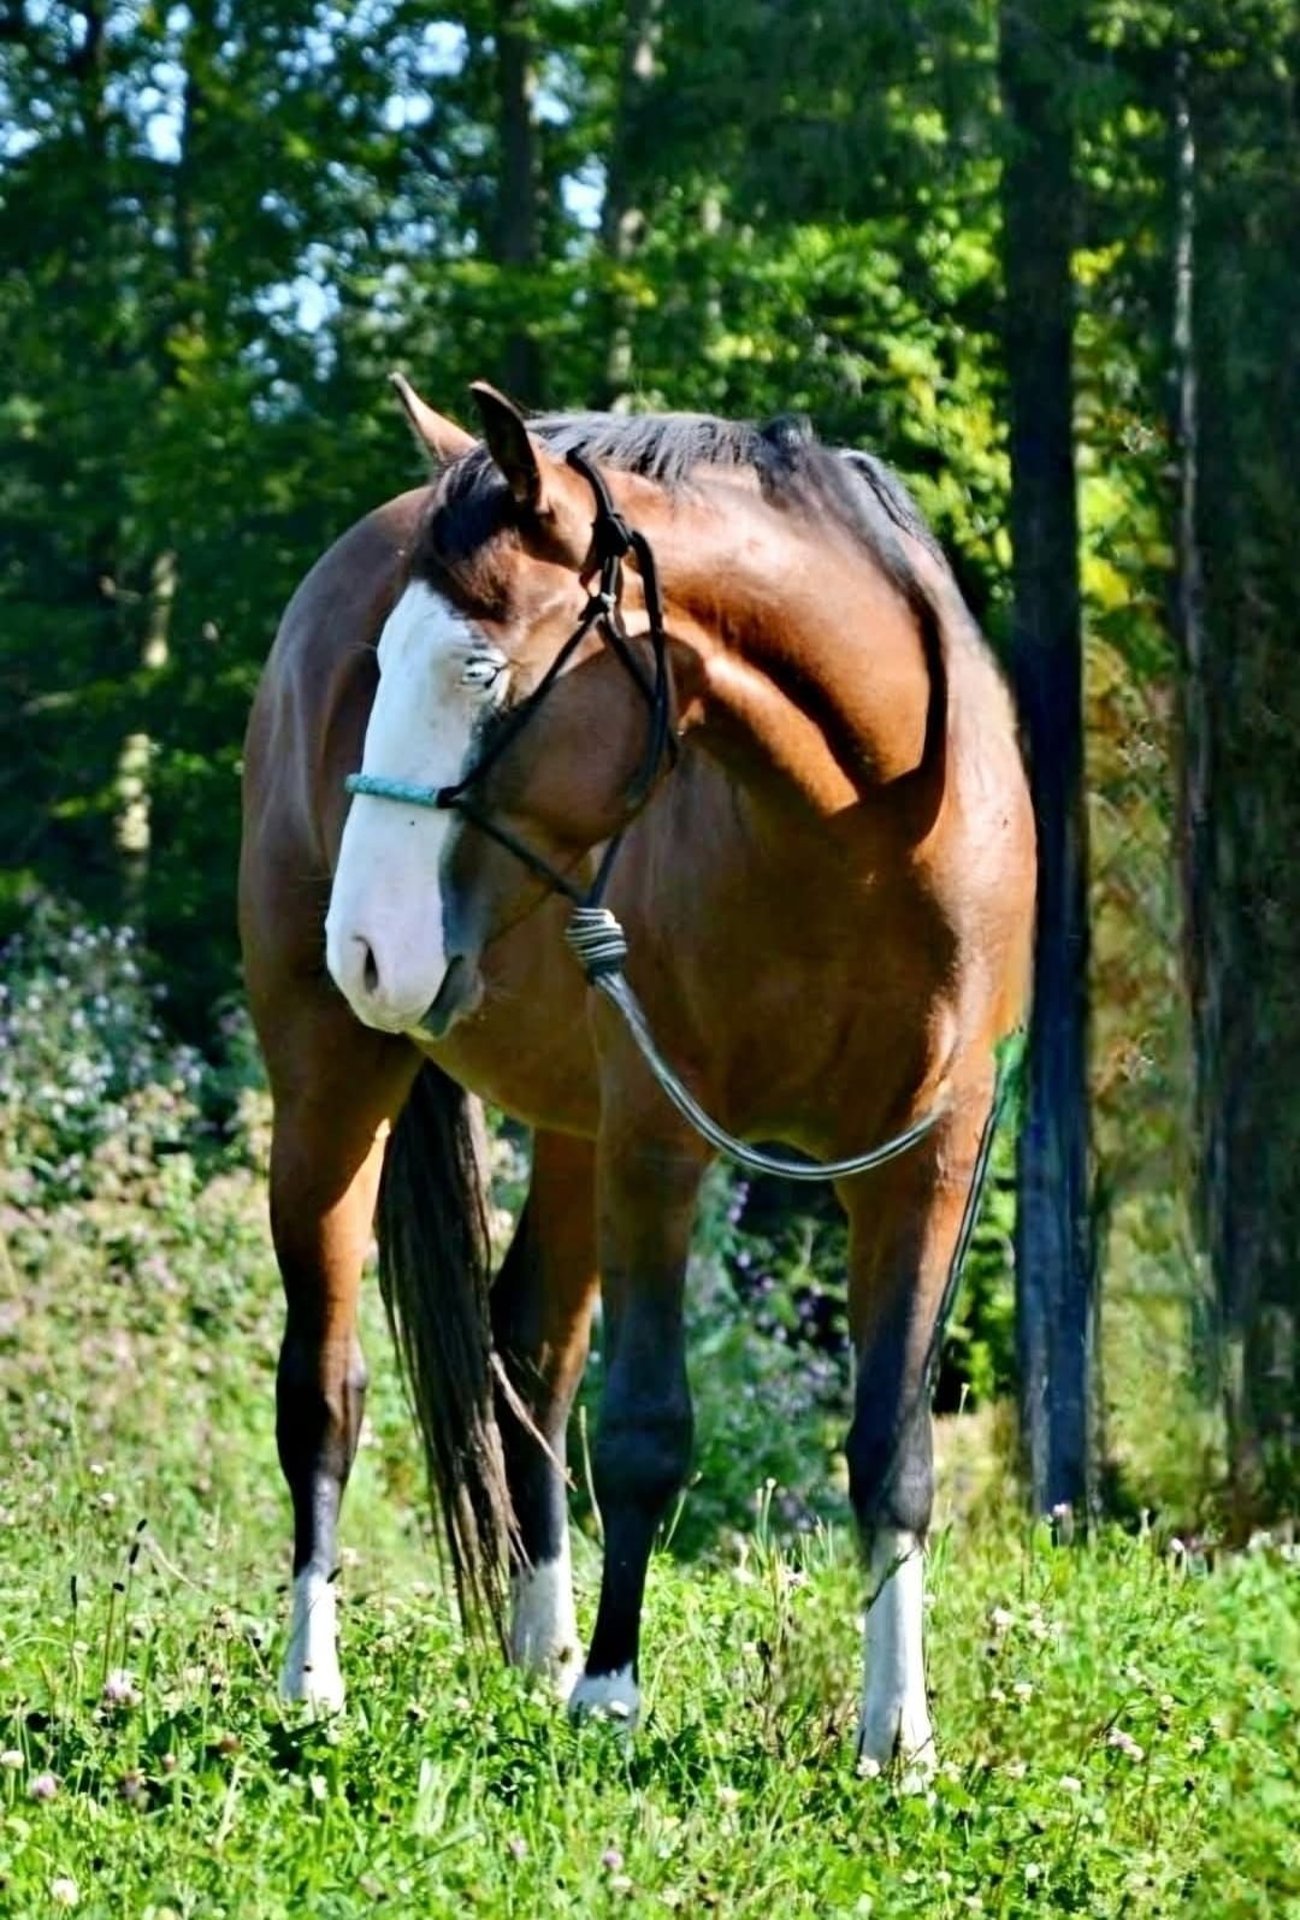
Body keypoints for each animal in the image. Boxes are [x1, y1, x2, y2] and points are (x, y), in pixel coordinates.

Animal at [237, 374, 1035, 1773]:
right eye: (380, 667)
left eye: (479, 667)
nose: (370, 947)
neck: (860, 831)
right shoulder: (662, 1139)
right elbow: (650, 1428)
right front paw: (613, 1695)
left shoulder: (928, 1161)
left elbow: (893, 1446)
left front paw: (897, 1739)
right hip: (334, 1081)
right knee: (325, 1391)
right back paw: (314, 1681)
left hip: (570, 1122)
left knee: (529, 1350)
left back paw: (538, 1644)